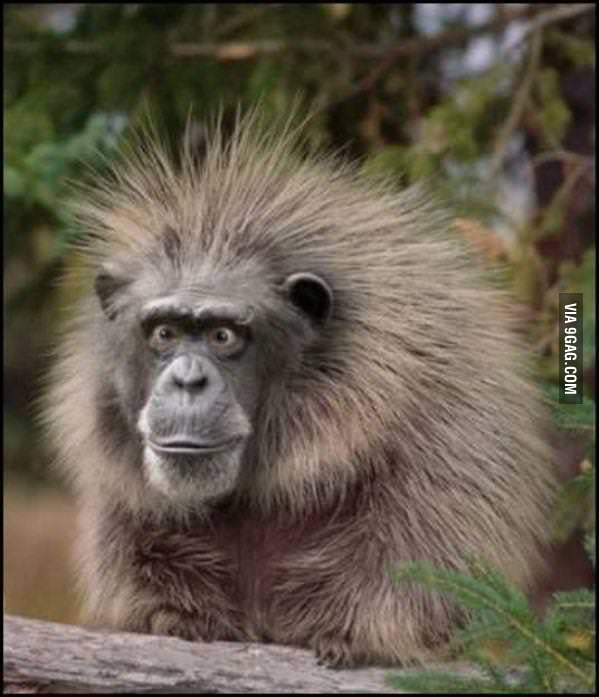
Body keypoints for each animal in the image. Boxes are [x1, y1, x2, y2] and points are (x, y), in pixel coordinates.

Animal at [43, 110, 557, 668]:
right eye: (165, 332)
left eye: (224, 335)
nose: (187, 380)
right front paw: (177, 615)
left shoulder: (437, 411)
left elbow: (422, 544)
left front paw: (357, 634)